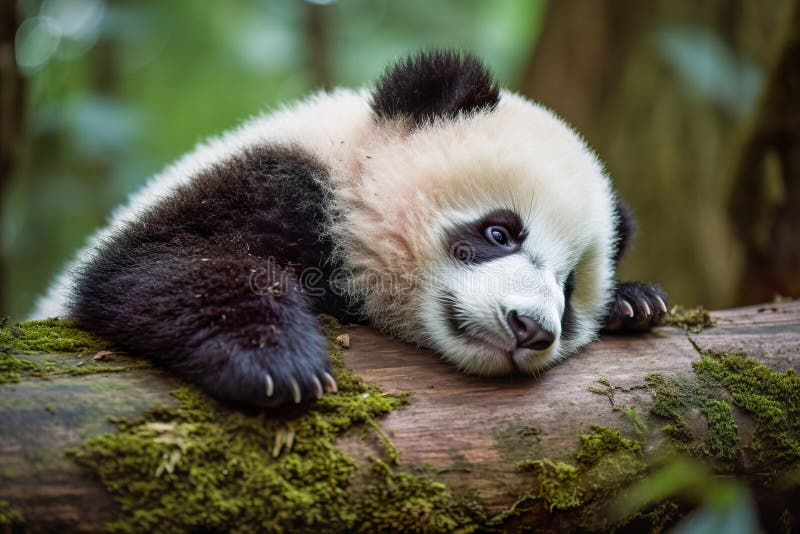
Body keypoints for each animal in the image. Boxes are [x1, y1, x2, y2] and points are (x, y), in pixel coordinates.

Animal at [32, 50, 668, 407]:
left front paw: (635, 302)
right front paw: (277, 364)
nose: (531, 328)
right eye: (500, 233)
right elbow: (155, 261)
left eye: (569, 287)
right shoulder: (274, 180)